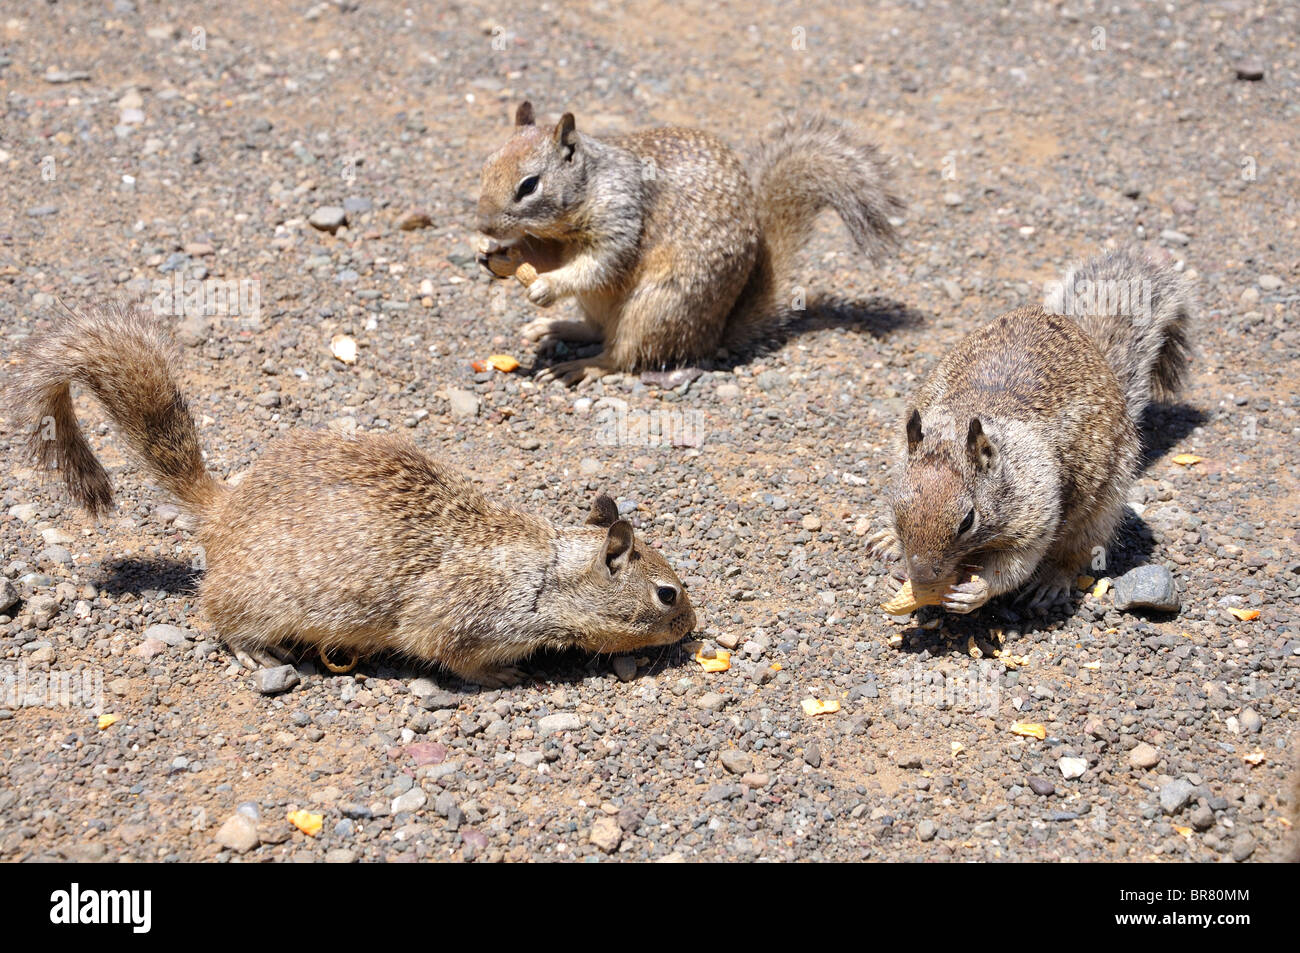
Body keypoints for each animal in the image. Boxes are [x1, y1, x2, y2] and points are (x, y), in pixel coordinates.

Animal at [11, 303, 696, 686]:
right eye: (667, 594)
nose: (693, 627)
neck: (548, 573)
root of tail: (223, 512)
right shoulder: (461, 618)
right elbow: (445, 652)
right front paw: (503, 673)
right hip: (258, 600)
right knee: (217, 616)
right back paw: (257, 653)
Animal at [475, 101, 902, 385]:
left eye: (529, 185)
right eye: (485, 166)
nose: (483, 225)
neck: (589, 186)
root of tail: (714, 333)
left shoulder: (623, 219)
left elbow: (599, 265)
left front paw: (547, 286)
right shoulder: (555, 240)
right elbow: (543, 255)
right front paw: (493, 254)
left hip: (657, 308)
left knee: (622, 355)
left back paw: (582, 365)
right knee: (597, 330)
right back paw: (556, 328)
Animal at [868, 246, 1193, 613]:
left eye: (967, 521)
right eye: (897, 511)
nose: (922, 577)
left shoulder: (1035, 515)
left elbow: (1014, 567)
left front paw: (976, 592)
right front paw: (894, 554)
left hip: (1102, 509)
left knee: (1077, 552)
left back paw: (1052, 582)